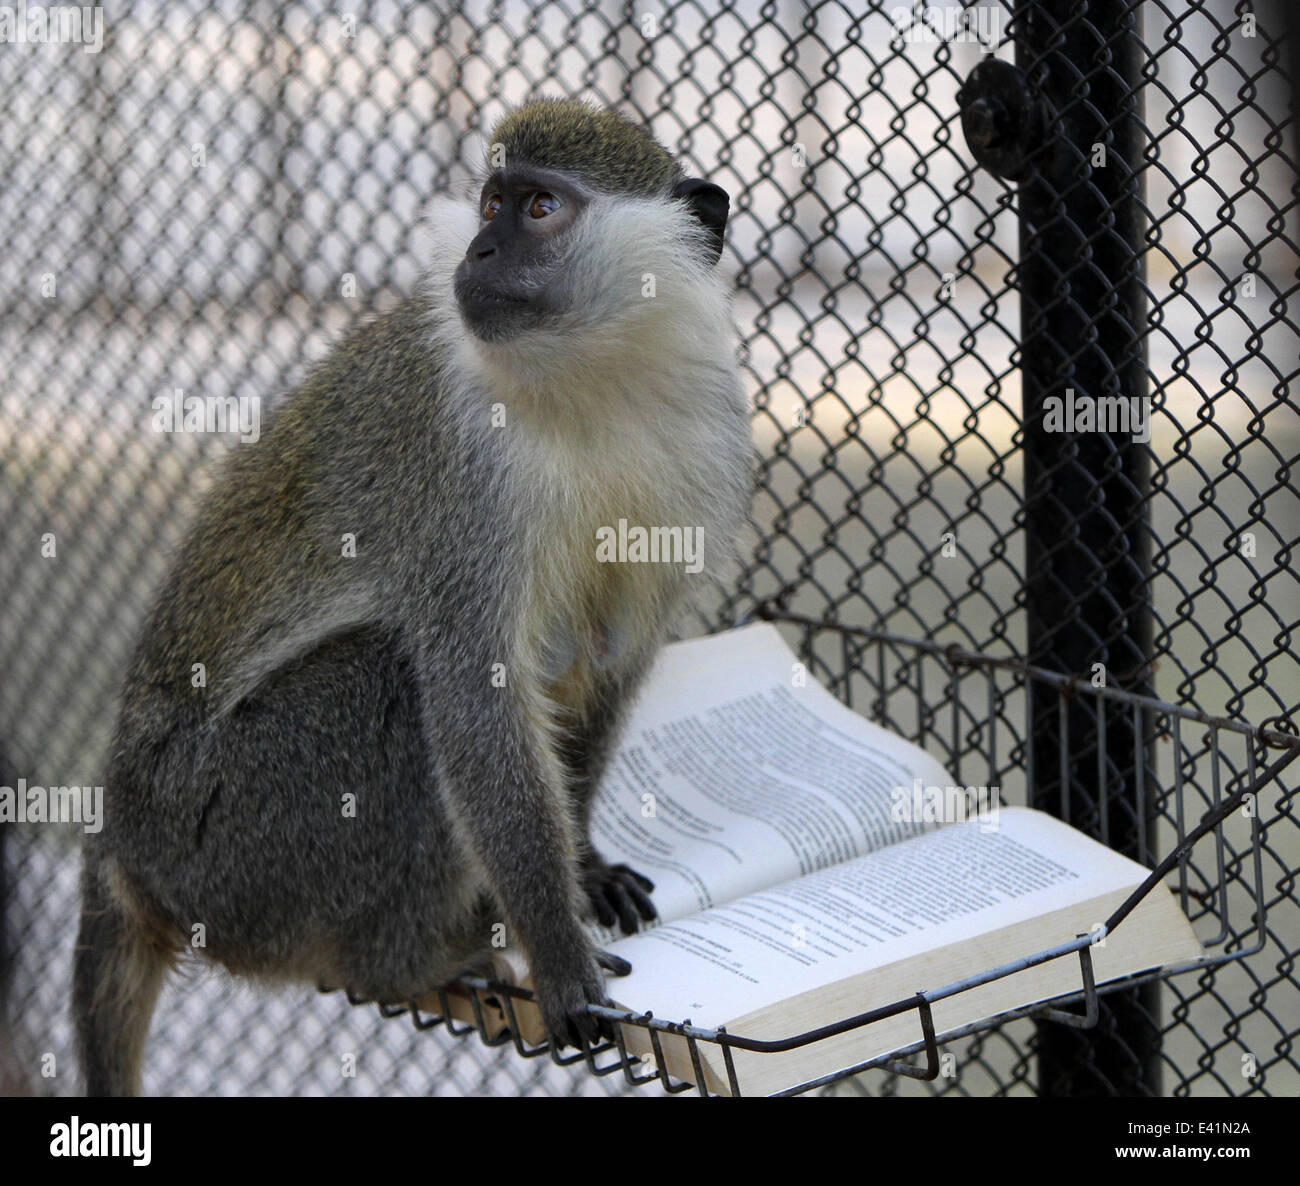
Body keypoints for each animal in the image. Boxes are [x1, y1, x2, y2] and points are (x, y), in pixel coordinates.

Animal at [72, 97, 753, 1096]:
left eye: (540, 207)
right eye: (491, 201)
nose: (479, 251)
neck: (591, 379)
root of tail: (122, 841)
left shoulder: (705, 439)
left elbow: (609, 662)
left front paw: (584, 866)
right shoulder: (463, 471)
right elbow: (473, 695)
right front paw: (558, 955)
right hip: (221, 843)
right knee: (388, 672)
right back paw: (404, 960)